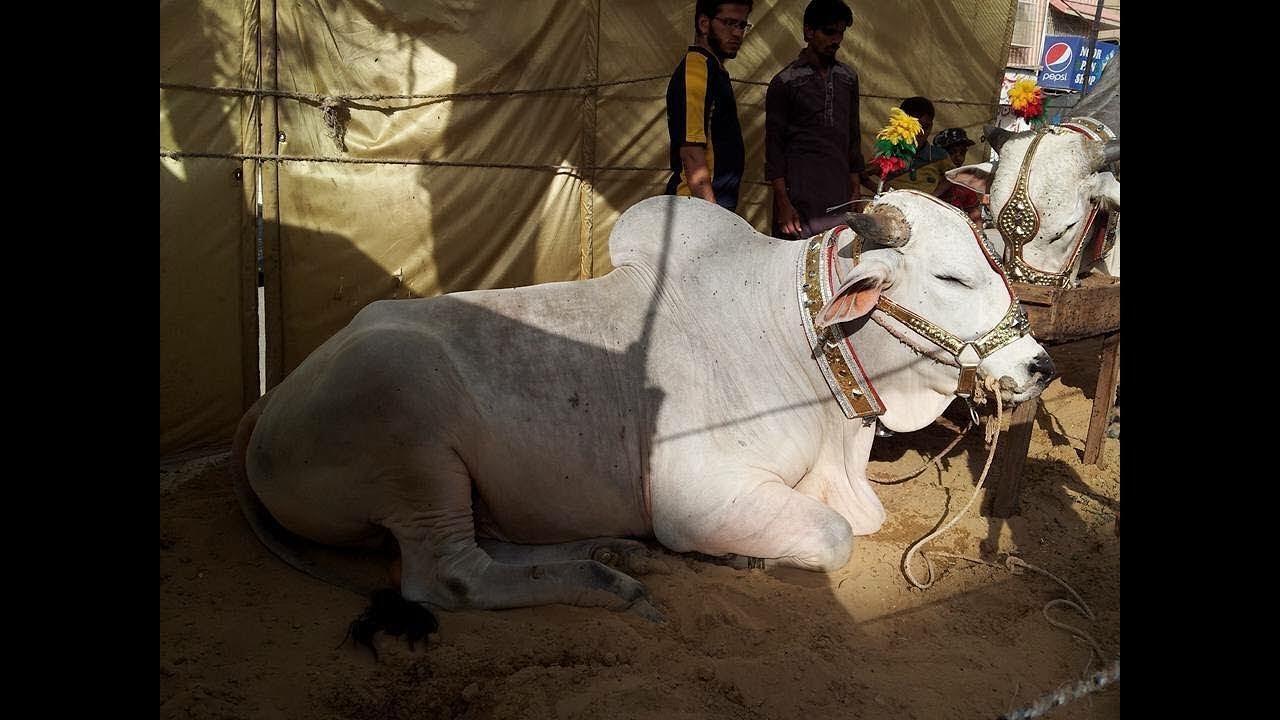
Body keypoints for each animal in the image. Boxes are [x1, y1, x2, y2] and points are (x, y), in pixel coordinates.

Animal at [233, 191, 1054, 621]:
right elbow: (833, 537)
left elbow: (865, 521)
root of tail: (266, 408)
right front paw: (743, 557)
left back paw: (607, 552)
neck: (795, 342)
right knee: (451, 576)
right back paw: (609, 583)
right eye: (951, 278)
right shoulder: (697, 497)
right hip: (411, 435)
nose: (1037, 365)